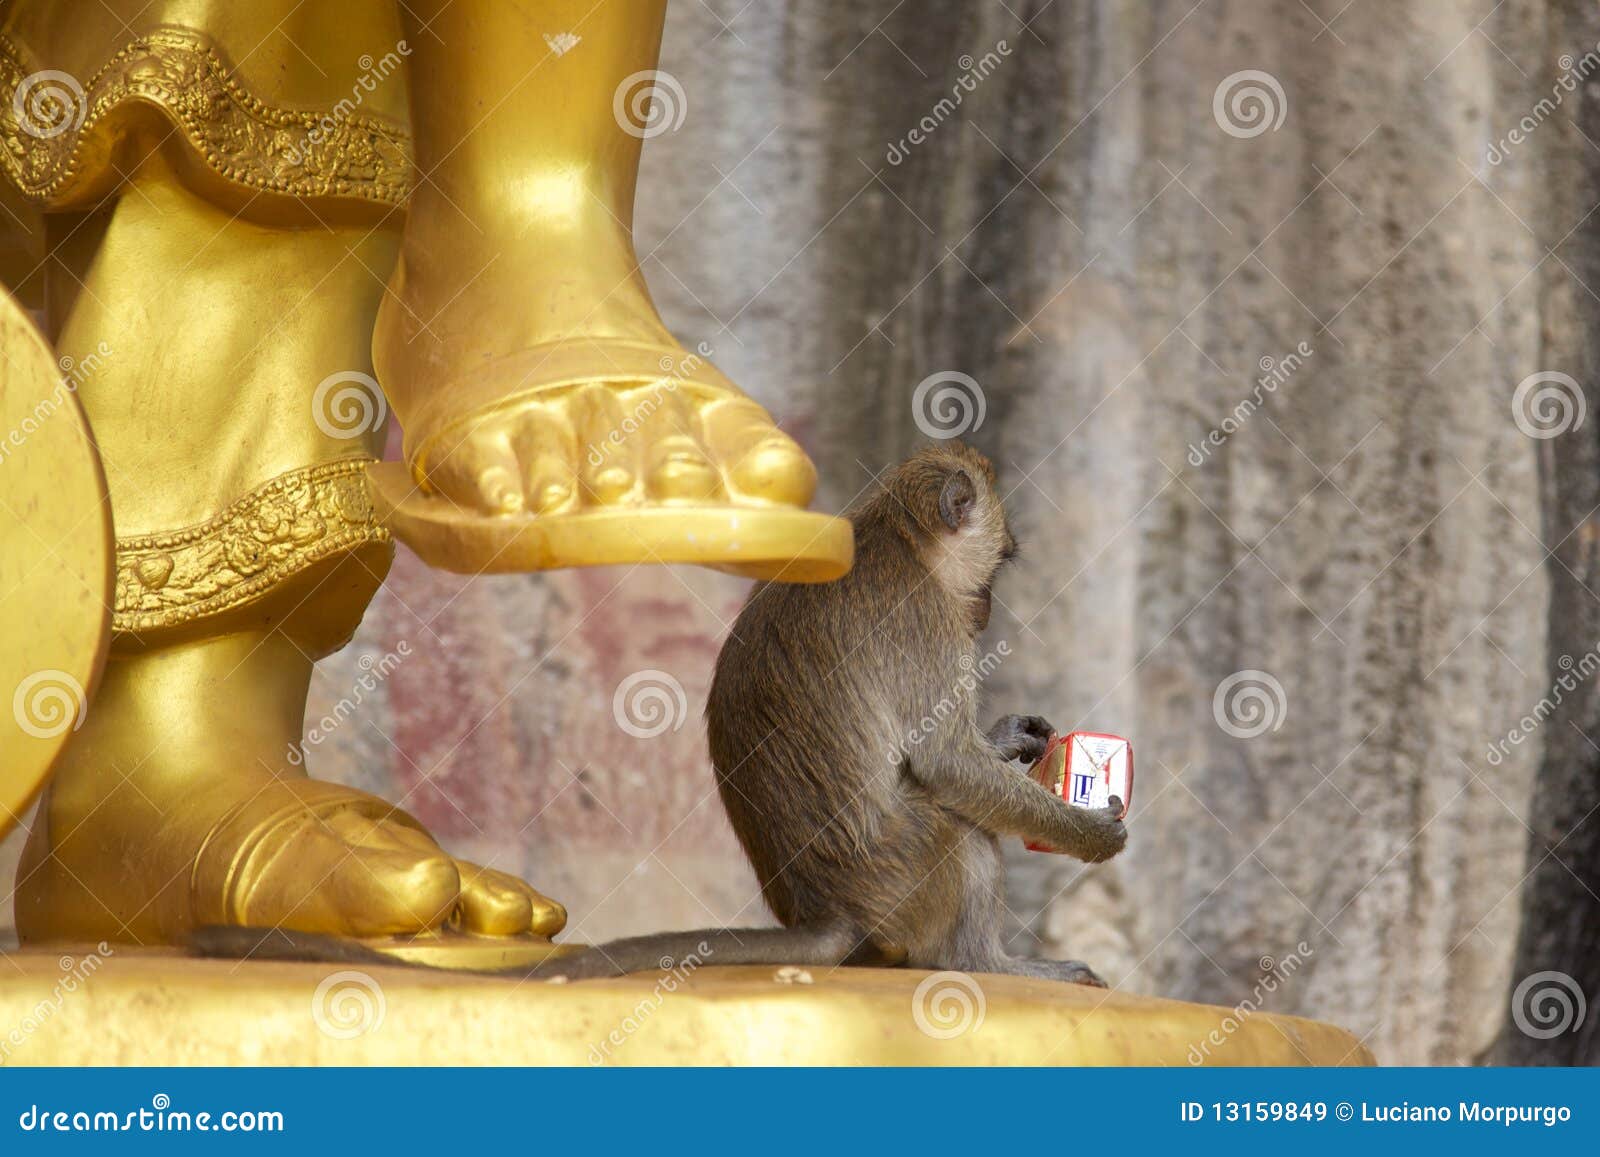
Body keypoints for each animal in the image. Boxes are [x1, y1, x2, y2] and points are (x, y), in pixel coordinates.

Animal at [192, 441, 1127, 984]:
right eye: (1000, 563)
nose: (989, 609)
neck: (894, 535)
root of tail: (829, 908)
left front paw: (1020, 743)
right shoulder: (925, 621)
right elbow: (941, 764)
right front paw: (1089, 827)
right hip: (904, 871)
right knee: (958, 829)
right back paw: (991, 964)